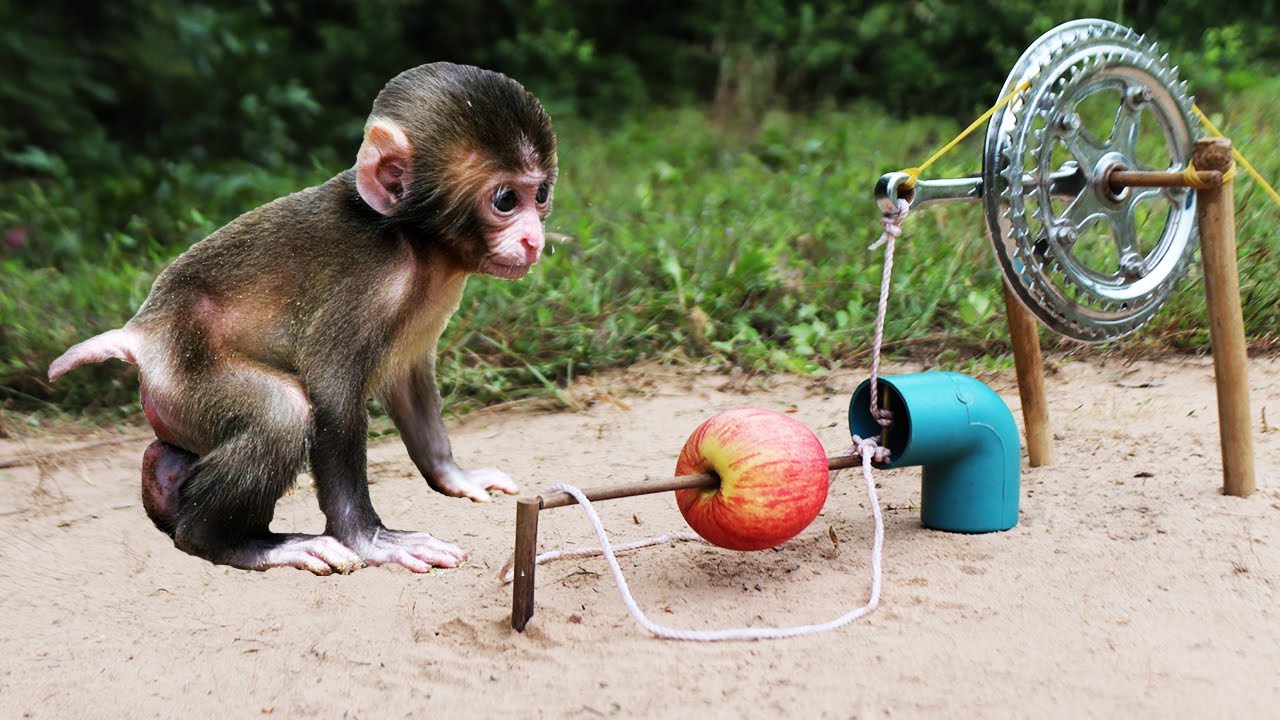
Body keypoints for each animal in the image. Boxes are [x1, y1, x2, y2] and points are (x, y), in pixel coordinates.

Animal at [47, 63, 557, 574]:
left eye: (541, 194)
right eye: (506, 200)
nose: (534, 240)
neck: (413, 240)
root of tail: (141, 333)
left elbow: (406, 378)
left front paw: (452, 475)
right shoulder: (368, 283)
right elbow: (331, 393)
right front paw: (369, 539)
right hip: (182, 372)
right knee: (283, 412)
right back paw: (238, 543)